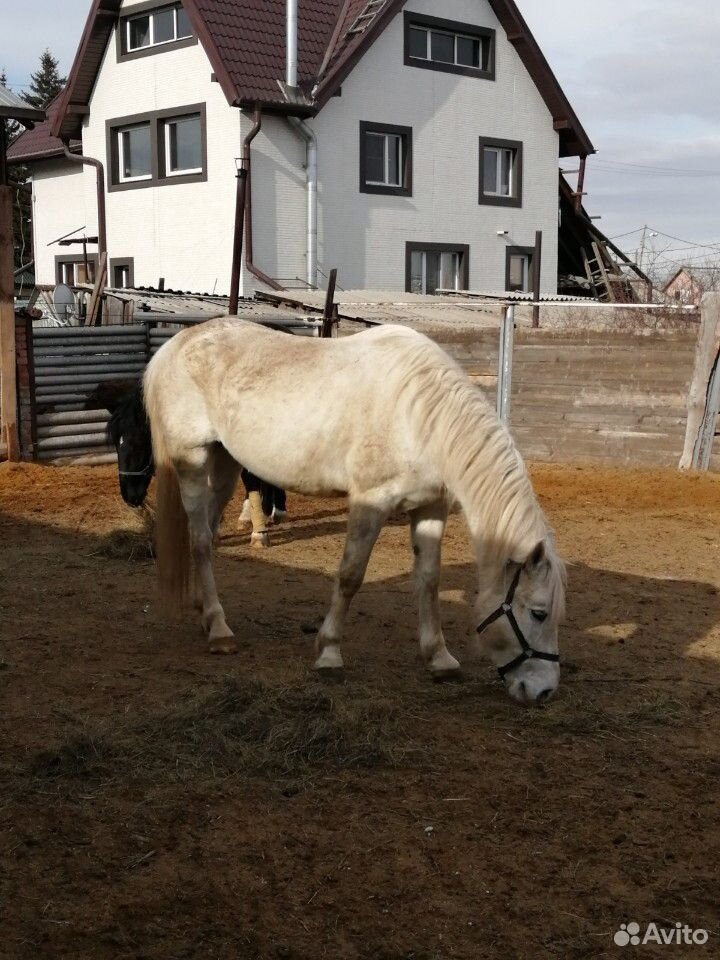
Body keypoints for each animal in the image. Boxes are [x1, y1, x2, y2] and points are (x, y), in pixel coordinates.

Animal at [144, 318, 566, 705]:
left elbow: (428, 581)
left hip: (225, 464)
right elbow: (350, 576)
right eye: (539, 613)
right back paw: (219, 631)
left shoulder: (431, 508)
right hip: (192, 460)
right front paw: (329, 653)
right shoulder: (371, 502)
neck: (420, 415)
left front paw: (439, 658)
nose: (544, 691)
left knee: (208, 533)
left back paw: (205, 610)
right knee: (200, 540)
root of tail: (176, 345)